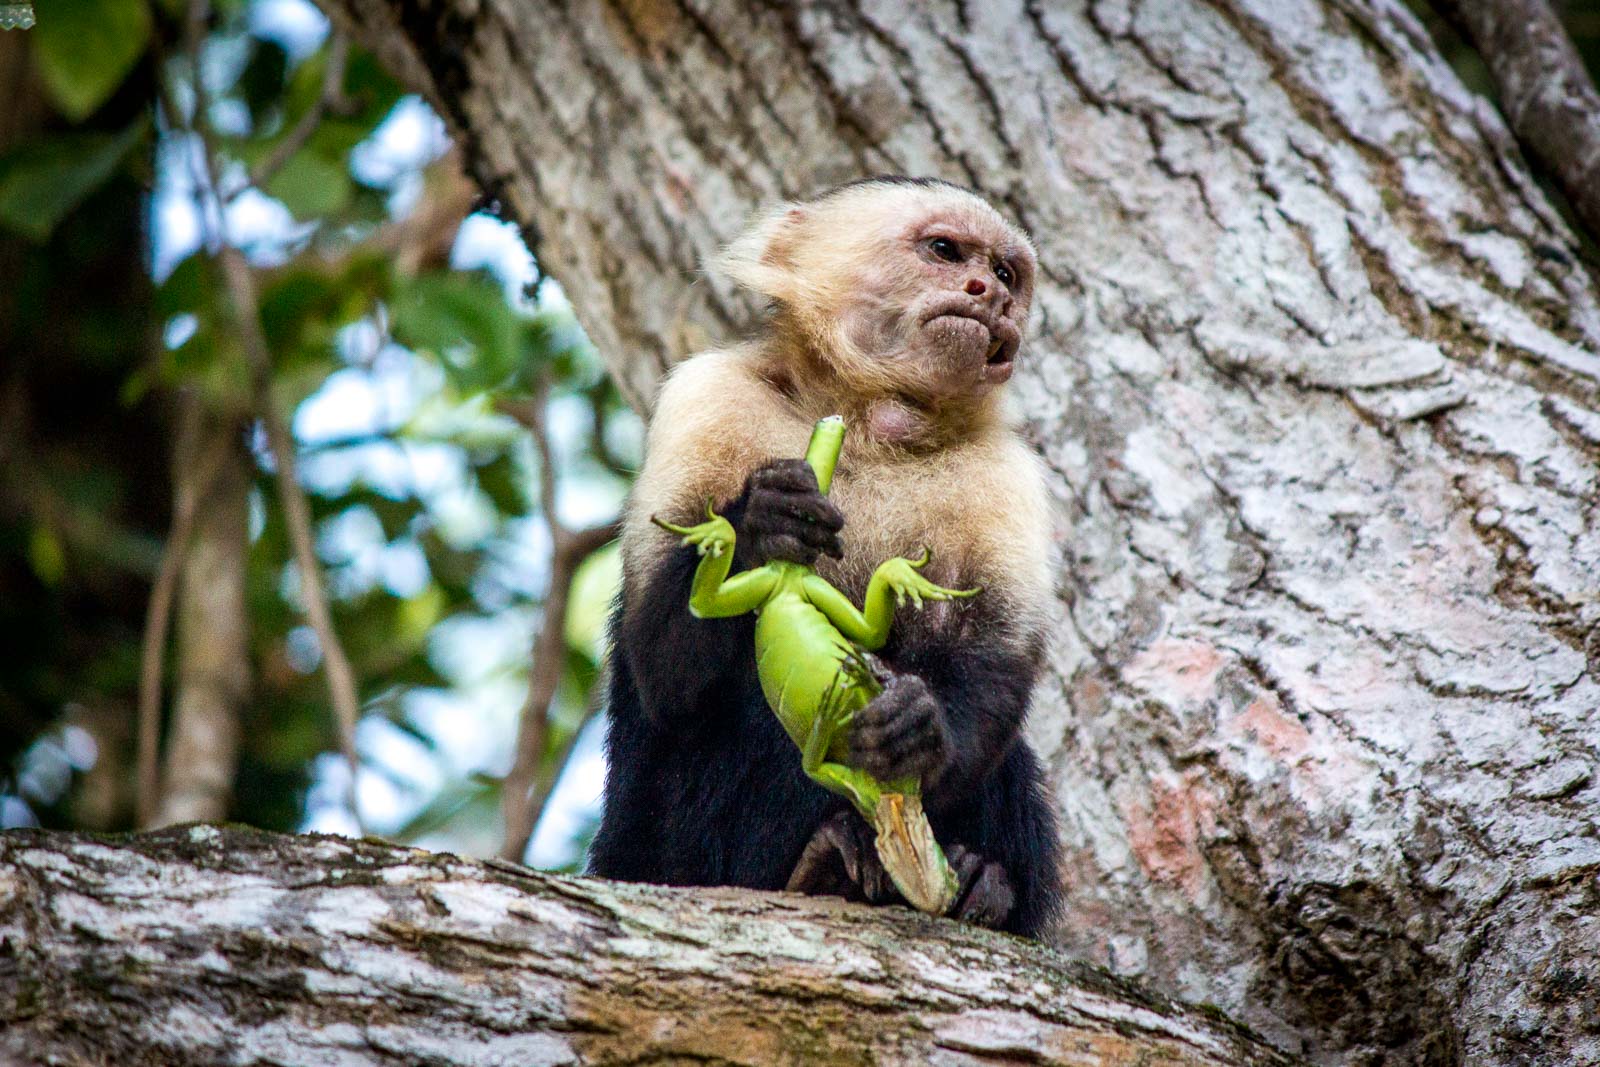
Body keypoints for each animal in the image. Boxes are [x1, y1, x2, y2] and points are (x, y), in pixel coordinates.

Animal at [587, 176, 1061, 937]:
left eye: (1009, 274)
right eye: (944, 250)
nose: (988, 291)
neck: (868, 419)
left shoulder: (1006, 473)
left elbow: (994, 663)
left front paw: (922, 731)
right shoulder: (709, 396)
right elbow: (663, 667)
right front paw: (763, 524)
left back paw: (982, 882)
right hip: (664, 847)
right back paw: (820, 862)